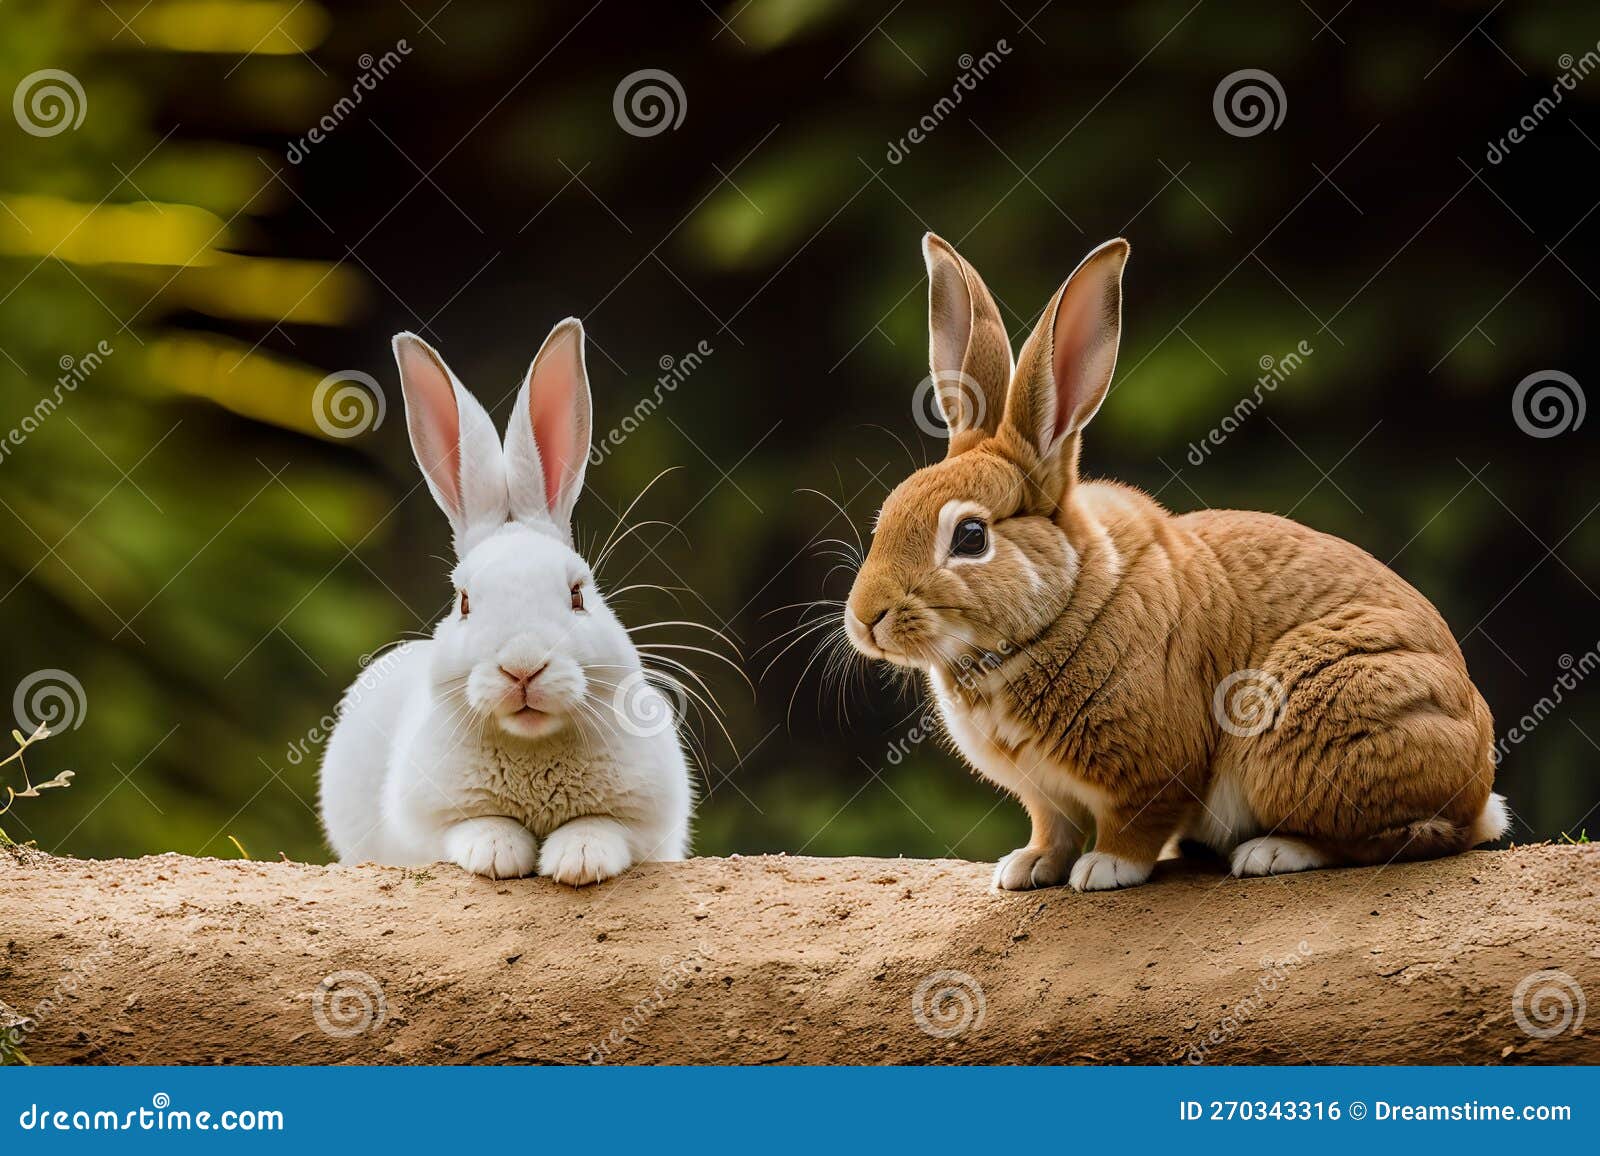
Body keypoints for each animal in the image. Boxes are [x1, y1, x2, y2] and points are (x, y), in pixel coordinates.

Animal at [318, 319, 692, 885]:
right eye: (464, 601)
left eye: (578, 593)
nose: (522, 668)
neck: (532, 745)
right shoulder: (421, 824)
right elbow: (472, 827)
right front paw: (497, 854)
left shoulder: (652, 822)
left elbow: (604, 827)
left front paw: (578, 860)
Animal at [844, 233, 1507, 892]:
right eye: (890, 510)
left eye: (970, 537)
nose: (866, 618)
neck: (1062, 605)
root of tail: (1479, 779)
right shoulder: (1047, 795)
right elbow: (1052, 830)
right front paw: (1026, 868)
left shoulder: (1150, 772)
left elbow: (1135, 822)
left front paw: (1103, 870)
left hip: (1311, 730)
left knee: (1394, 837)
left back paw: (1270, 853)